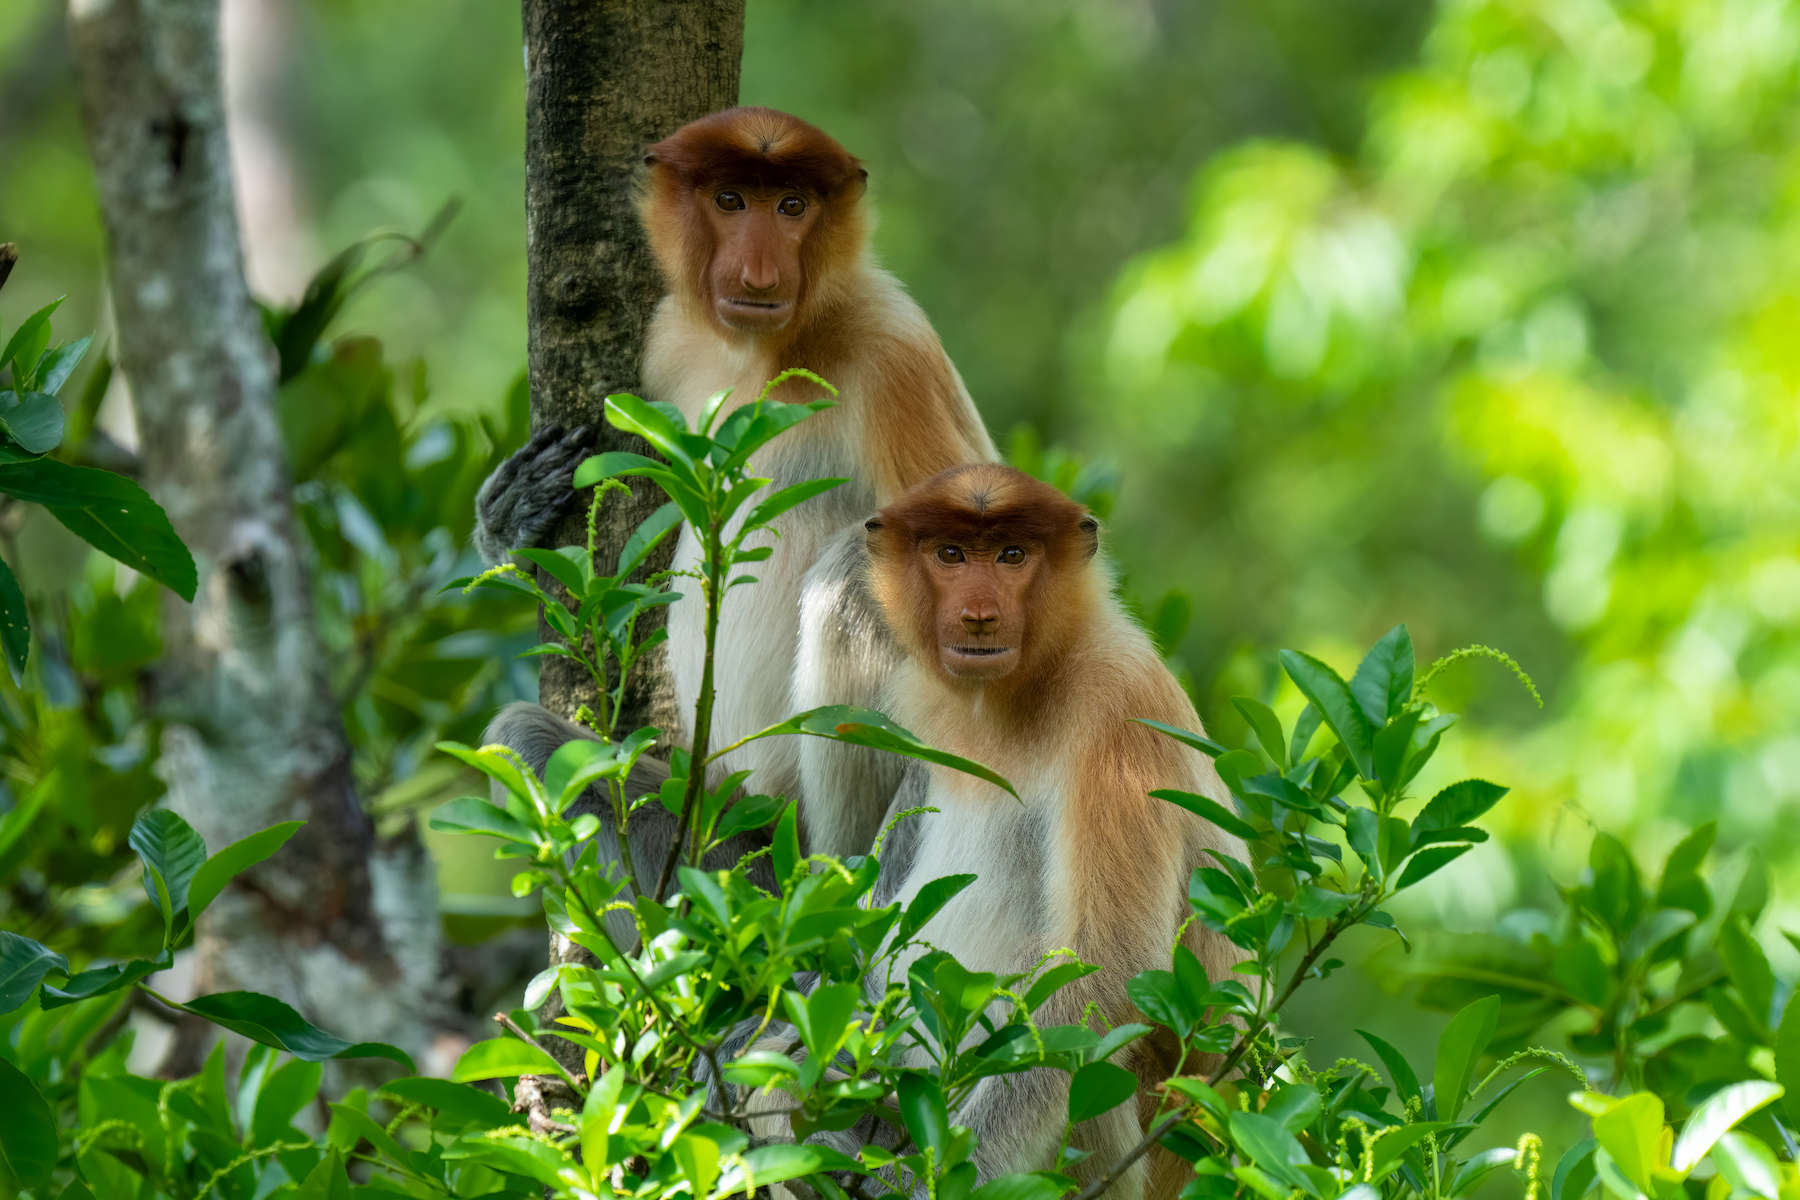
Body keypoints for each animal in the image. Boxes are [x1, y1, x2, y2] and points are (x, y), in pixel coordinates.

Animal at [473, 107, 998, 865]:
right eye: (730, 200)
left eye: (792, 206)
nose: (759, 273)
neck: (763, 351)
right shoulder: (666, 341)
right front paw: (512, 511)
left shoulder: (893, 354)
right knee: (524, 741)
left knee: (853, 573)